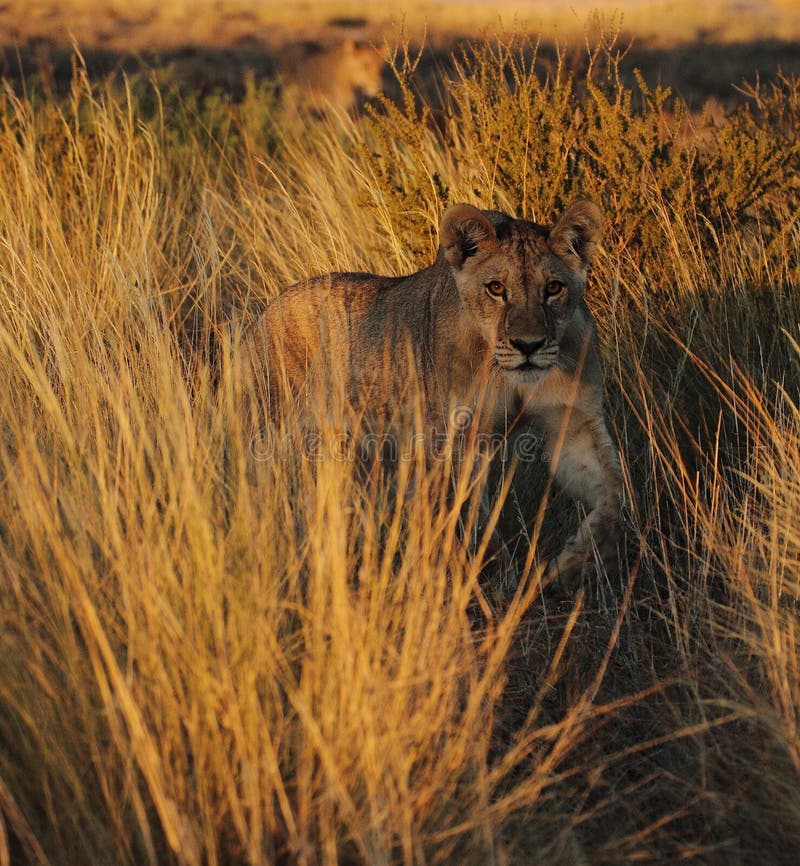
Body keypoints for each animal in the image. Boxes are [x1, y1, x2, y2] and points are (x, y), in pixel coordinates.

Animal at [247, 201, 623, 587]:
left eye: (553, 287)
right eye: (496, 288)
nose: (528, 346)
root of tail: (265, 313)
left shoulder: (573, 420)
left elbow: (614, 494)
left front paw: (575, 558)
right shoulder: (452, 437)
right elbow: (459, 514)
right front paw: (479, 576)